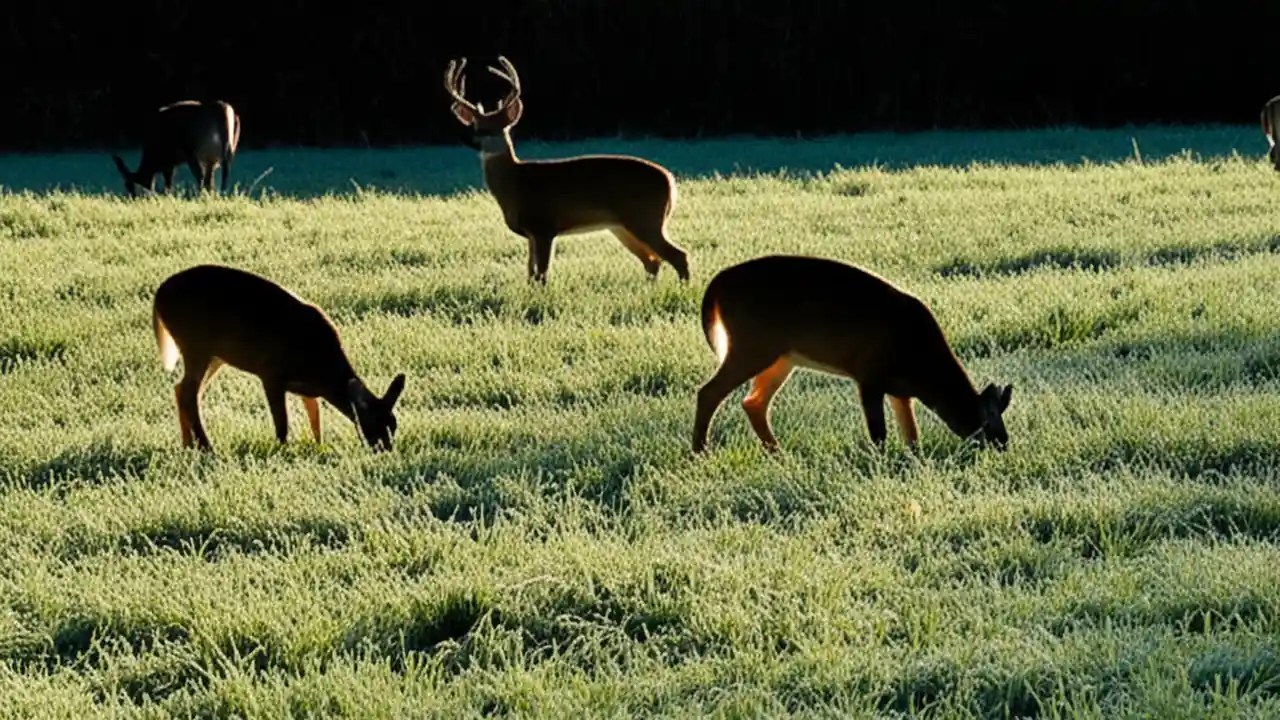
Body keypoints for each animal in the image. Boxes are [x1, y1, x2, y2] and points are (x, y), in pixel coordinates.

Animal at [112, 99, 241, 197]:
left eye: (129, 185)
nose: (132, 198)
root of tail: (222, 108)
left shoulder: (168, 161)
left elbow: (168, 182)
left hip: (194, 150)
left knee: (201, 175)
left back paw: (202, 194)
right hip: (223, 152)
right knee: (217, 174)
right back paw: (218, 193)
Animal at [151, 264, 407, 452]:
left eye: (393, 426)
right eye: (373, 425)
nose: (386, 450)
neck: (324, 372)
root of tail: (158, 296)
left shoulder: (308, 388)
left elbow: (314, 416)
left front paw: (319, 446)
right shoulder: (271, 373)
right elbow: (282, 422)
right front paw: (283, 450)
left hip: (213, 354)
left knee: (183, 389)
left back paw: (188, 444)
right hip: (195, 344)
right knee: (189, 392)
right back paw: (206, 447)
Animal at [443, 56, 690, 285]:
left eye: (495, 129)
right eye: (475, 126)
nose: (467, 139)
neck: (515, 183)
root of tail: (670, 180)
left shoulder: (544, 226)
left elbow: (542, 273)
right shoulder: (531, 233)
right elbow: (530, 272)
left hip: (646, 217)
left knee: (677, 255)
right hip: (622, 226)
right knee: (652, 260)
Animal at [691, 254, 1013, 454]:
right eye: (987, 420)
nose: (1003, 444)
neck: (921, 368)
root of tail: (716, 288)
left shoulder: (899, 390)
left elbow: (911, 435)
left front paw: (914, 460)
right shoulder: (868, 374)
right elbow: (879, 433)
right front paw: (881, 463)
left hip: (781, 356)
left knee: (753, 402)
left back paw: (777, 452)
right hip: (751, 344)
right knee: (709, 392)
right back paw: (700, 451)